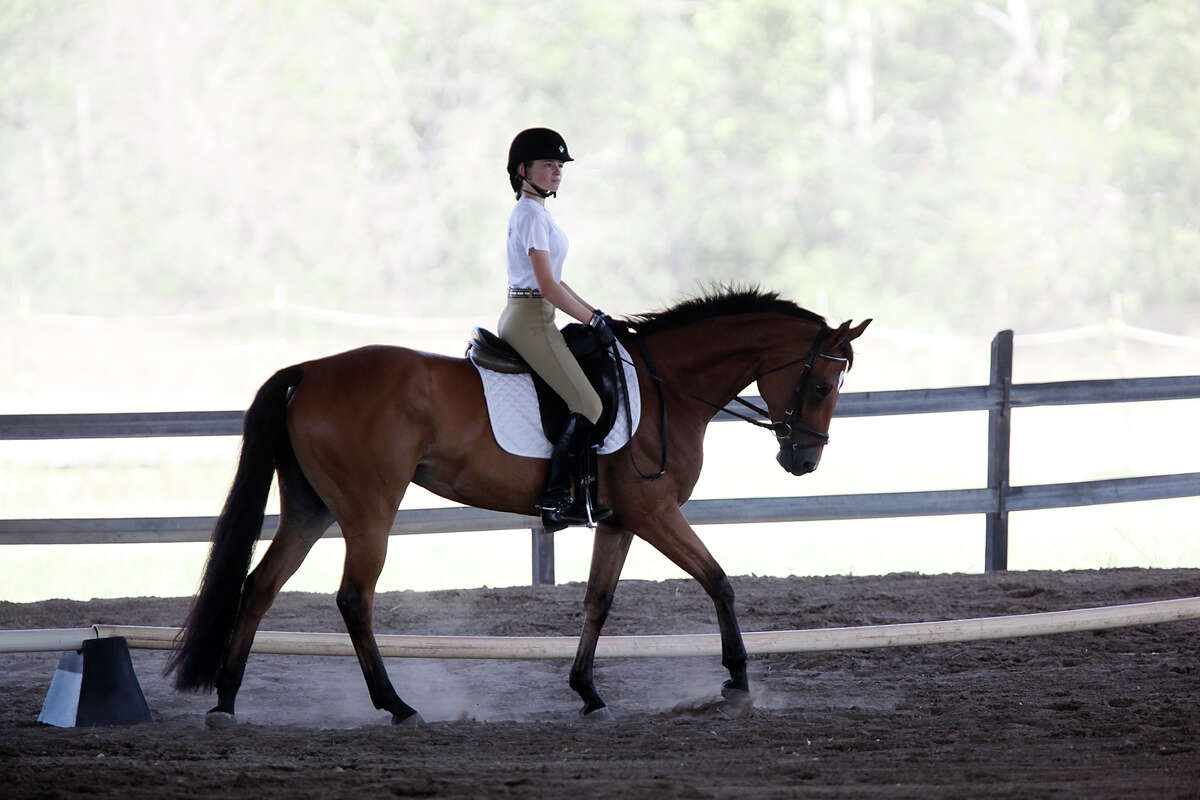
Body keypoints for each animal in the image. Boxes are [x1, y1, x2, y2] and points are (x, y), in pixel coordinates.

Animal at [165, 287, 870, 726]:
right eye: (822, 383)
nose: (803, 461)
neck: (669, 387)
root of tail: (308, 371)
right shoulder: (655, 513)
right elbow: (720, 582)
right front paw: (737, 684)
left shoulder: (620, 522)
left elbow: (598, 602)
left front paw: (588, 694)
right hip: (368, 512)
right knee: (353, 600)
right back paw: (397, 706)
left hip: (313, 508)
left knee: (260, 586)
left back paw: (227, 702)